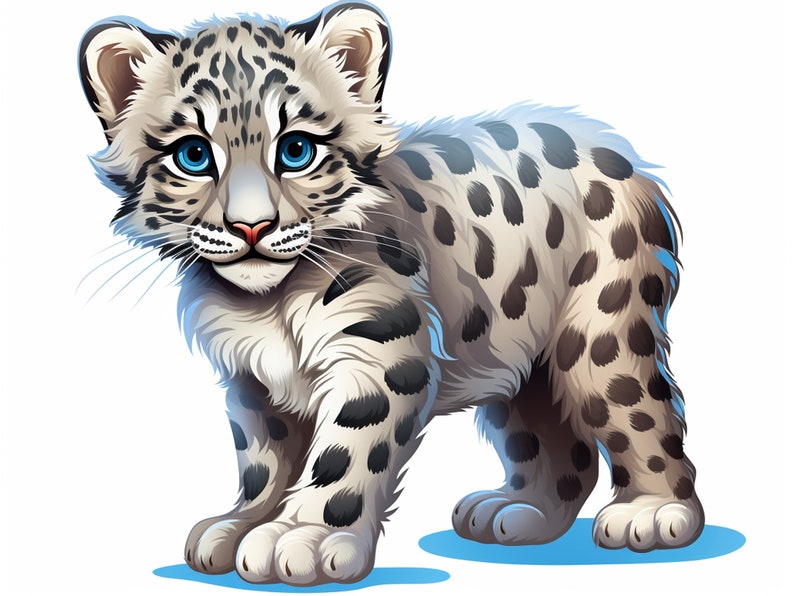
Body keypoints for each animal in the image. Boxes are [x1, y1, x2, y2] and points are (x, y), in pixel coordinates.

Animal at [79, 1, 704, 586]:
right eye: (194, 154)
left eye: (296, 149)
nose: (251, 226)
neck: (264, 309)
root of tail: (624, 158)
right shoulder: (251, 380)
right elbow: (263, 457)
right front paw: (240, 523)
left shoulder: (378, 348)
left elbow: (345, 452)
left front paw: (300, 538)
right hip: (513, 355)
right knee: (563, 448)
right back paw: (518, 512)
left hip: (600, 333)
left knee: (641, 411)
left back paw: (652, 512)